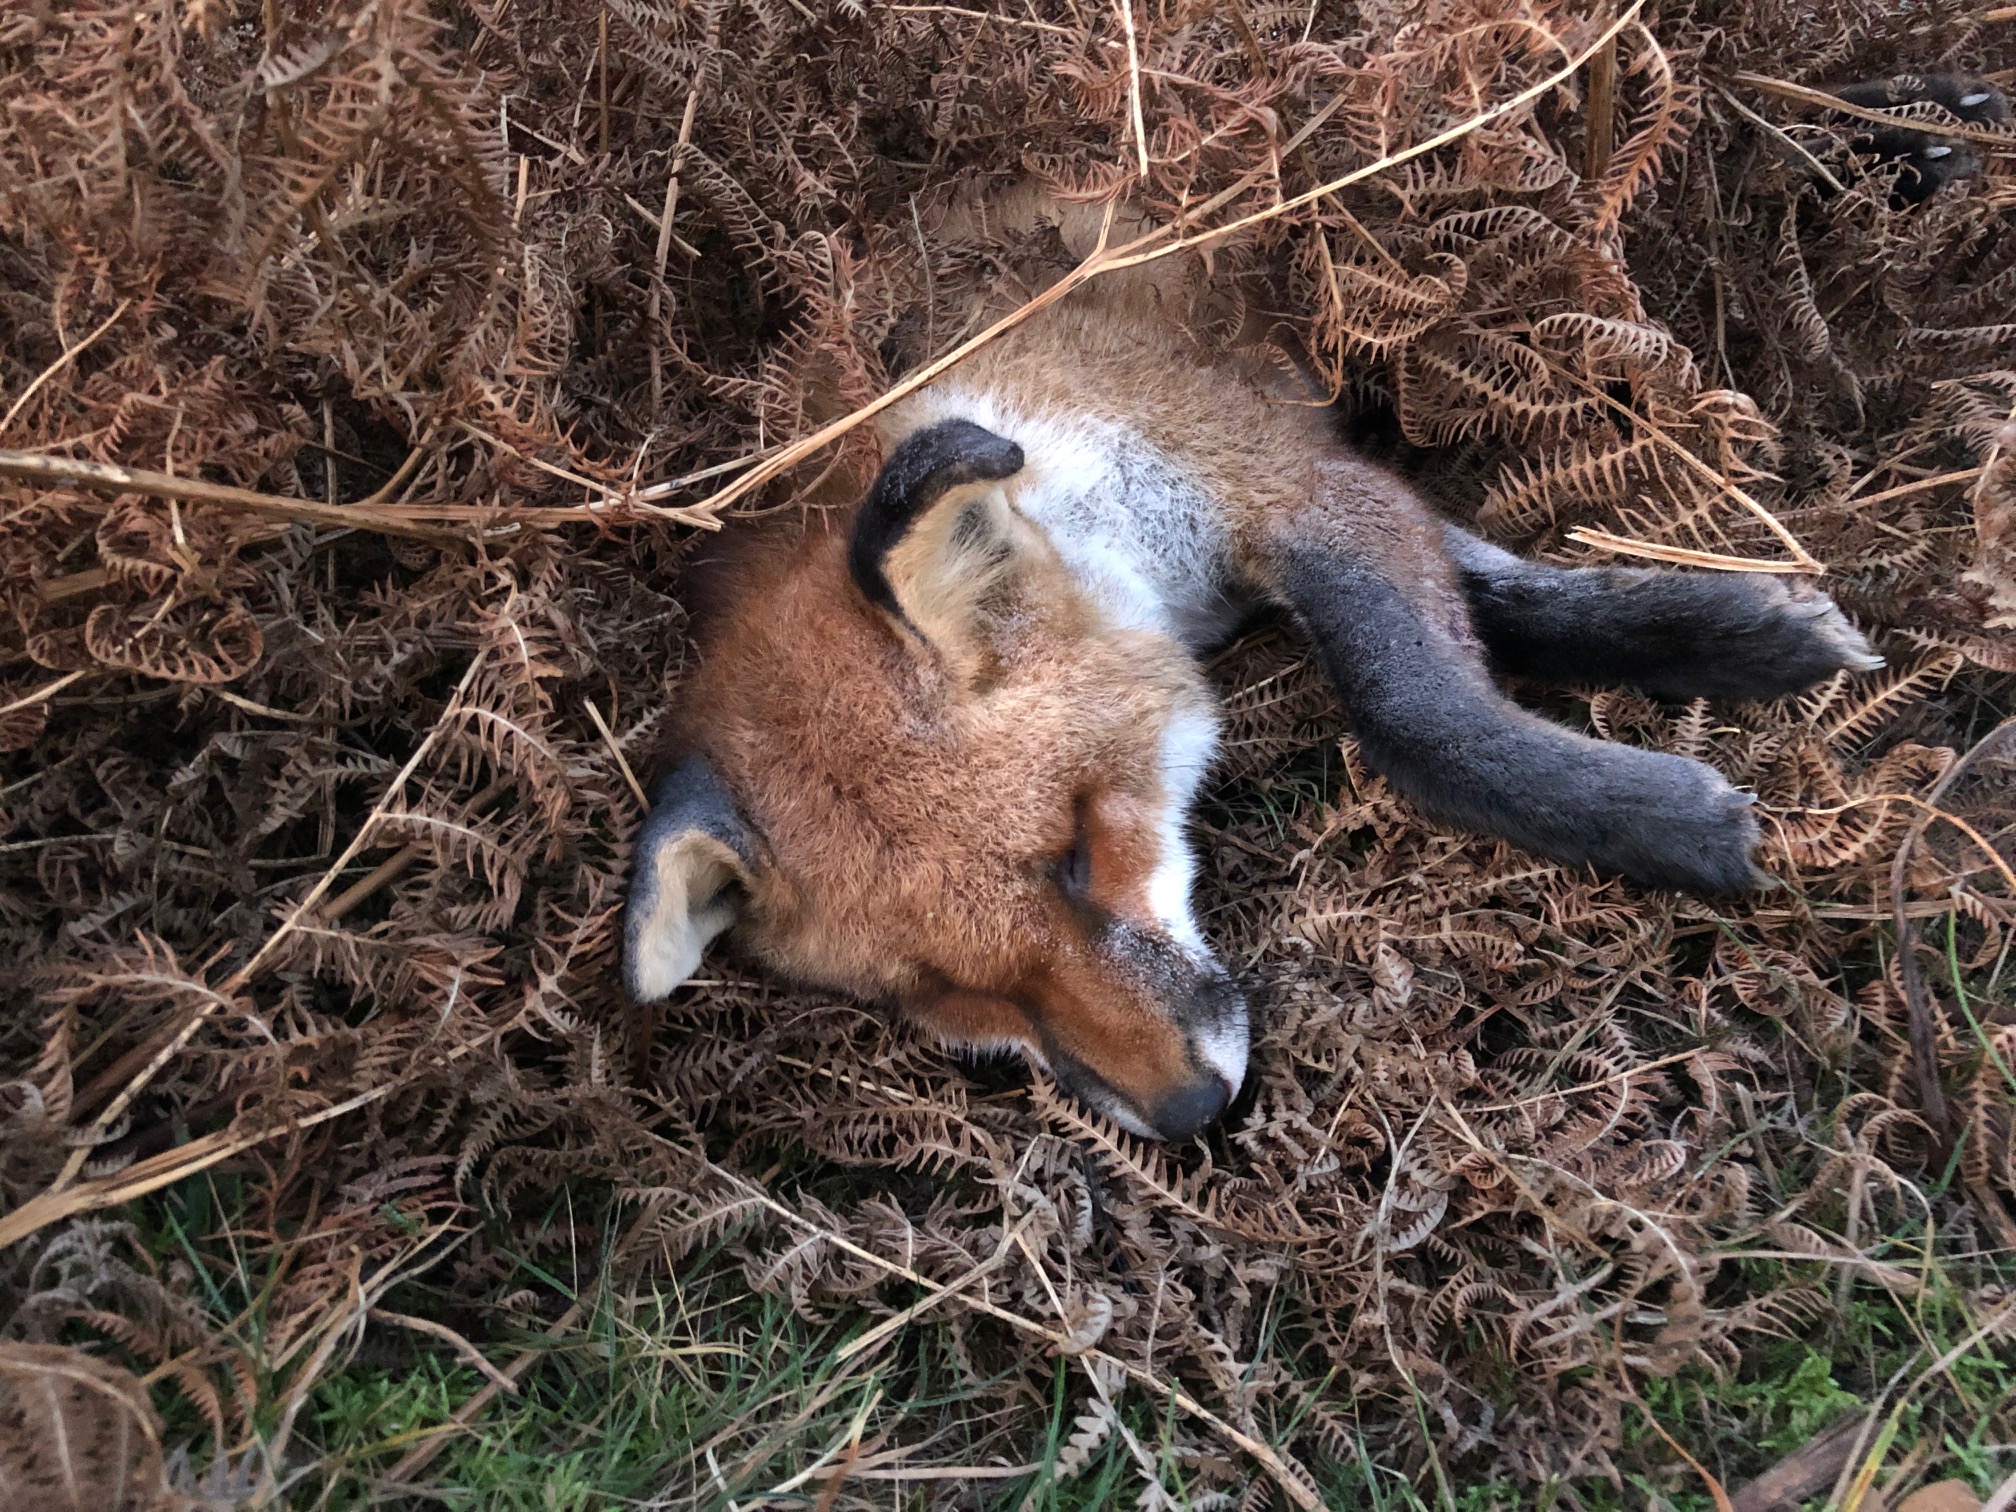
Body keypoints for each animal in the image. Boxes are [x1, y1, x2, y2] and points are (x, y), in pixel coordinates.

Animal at [622, 184, 1884, 1142]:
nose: (1190, 1114)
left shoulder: (1290, 481)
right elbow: (1483, 605)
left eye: (1076, 853)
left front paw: (1691, 740)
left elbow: (1423, 701)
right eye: (950, 992)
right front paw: (1727, 651)